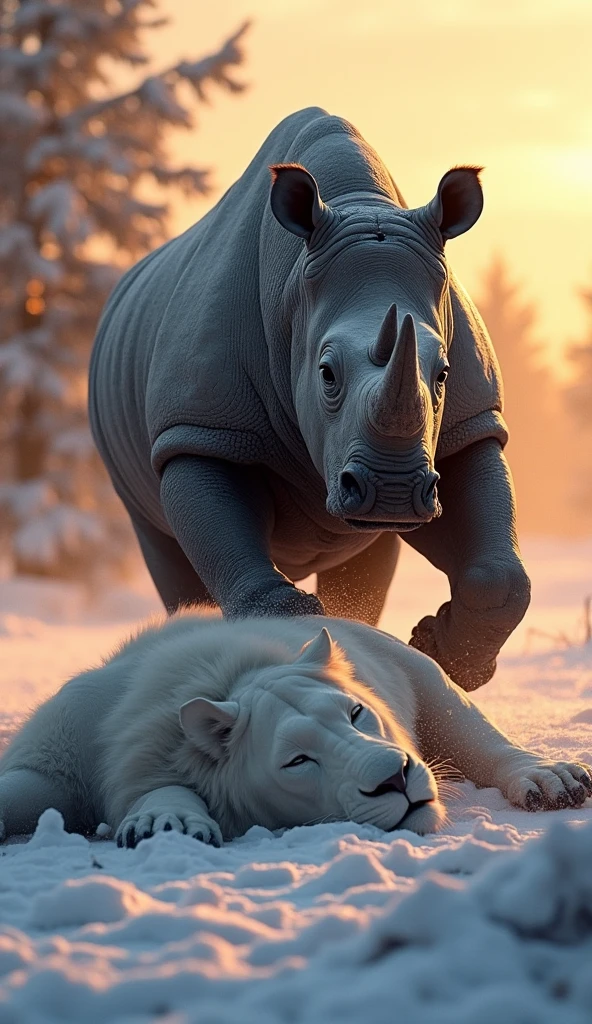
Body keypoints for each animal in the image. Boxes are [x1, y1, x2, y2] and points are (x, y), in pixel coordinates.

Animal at [89, 106, 530, 691]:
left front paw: (442, 654)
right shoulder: (202, 430)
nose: (393, 491)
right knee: (166, 551)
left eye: (442, 374)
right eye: (325, 373)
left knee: (370, 554)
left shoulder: (469, 422)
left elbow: (499, 573)